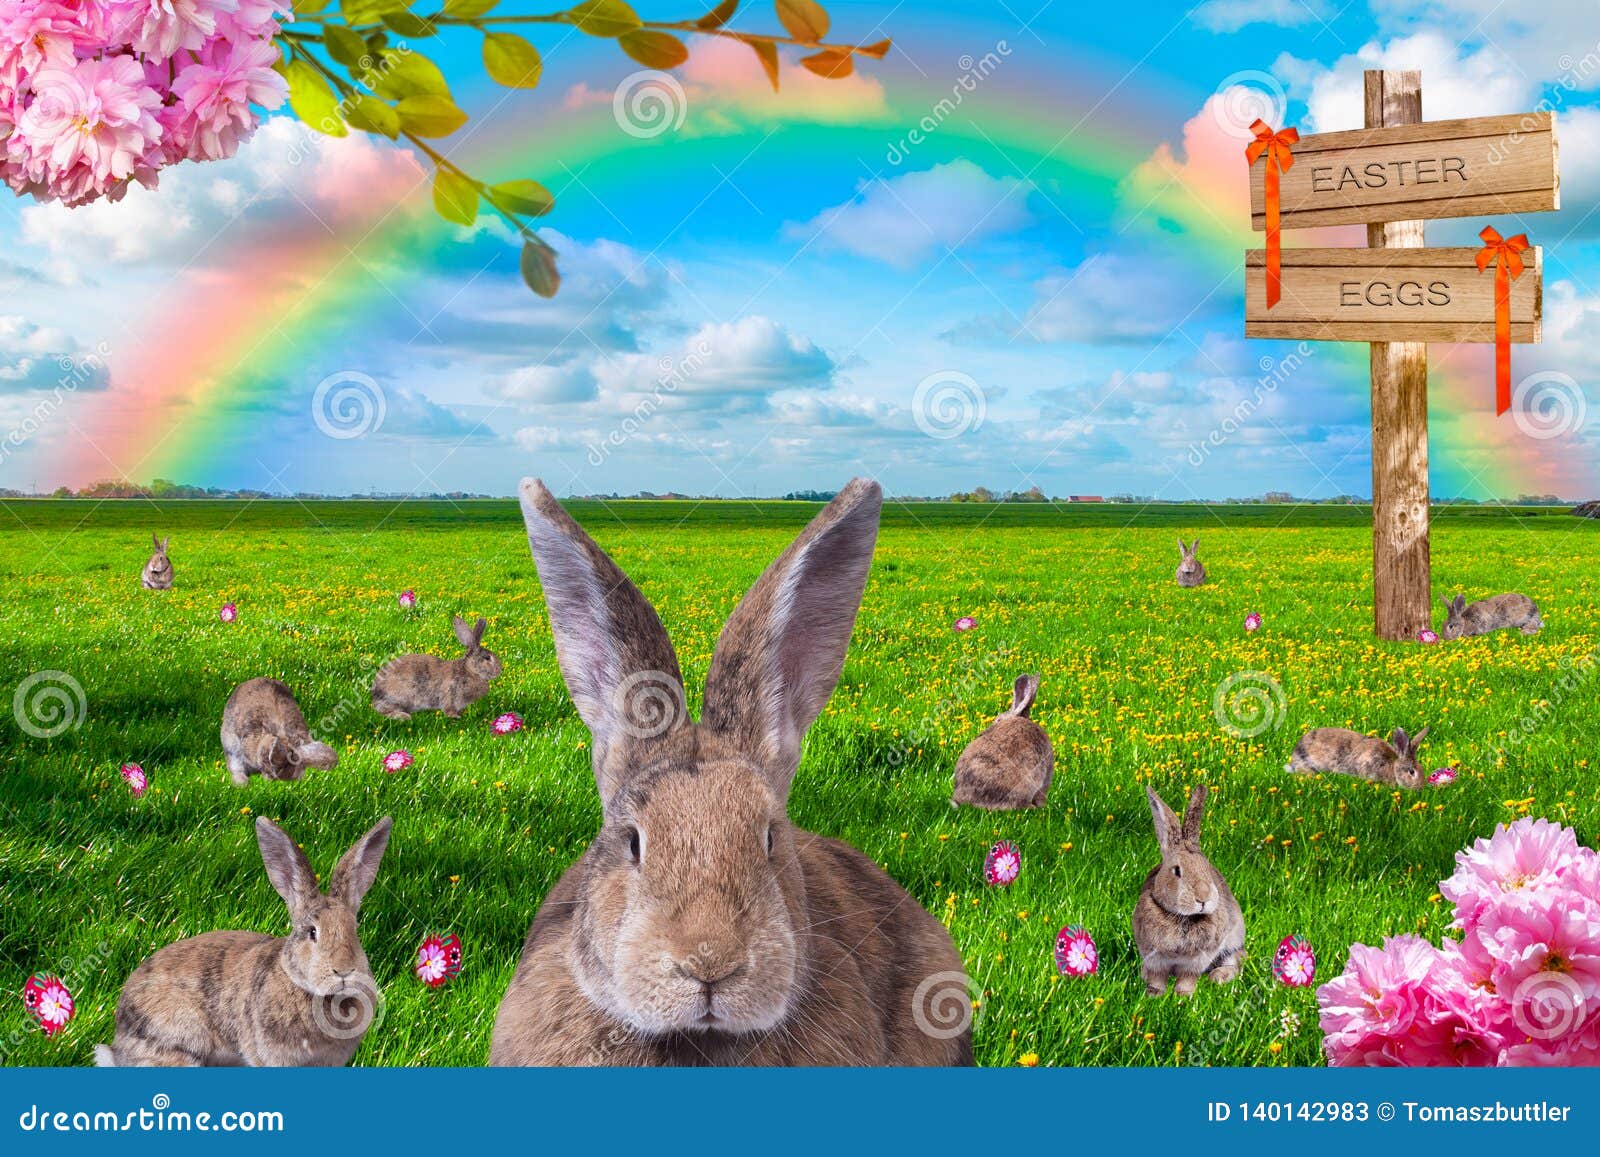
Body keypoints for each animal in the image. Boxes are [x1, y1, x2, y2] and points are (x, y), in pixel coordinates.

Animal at [370, 615, 502, 720]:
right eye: (487, 658)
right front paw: (456, 717)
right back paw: (404, 716)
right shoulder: (450, 694)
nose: (500, 670)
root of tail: (374, 694)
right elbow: (448, 709)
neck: (470, 670)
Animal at [1133, 785, 1245, 997]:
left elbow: (1187, 978)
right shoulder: (1154, 956)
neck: (1182, 917)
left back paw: (1218, 977)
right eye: (1177, 870)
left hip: (1233, 942)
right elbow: (1157, 977)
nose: (1203, 898)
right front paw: (1154, 994)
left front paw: (1183, 996)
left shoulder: (1198, 960)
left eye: (1208, 868)